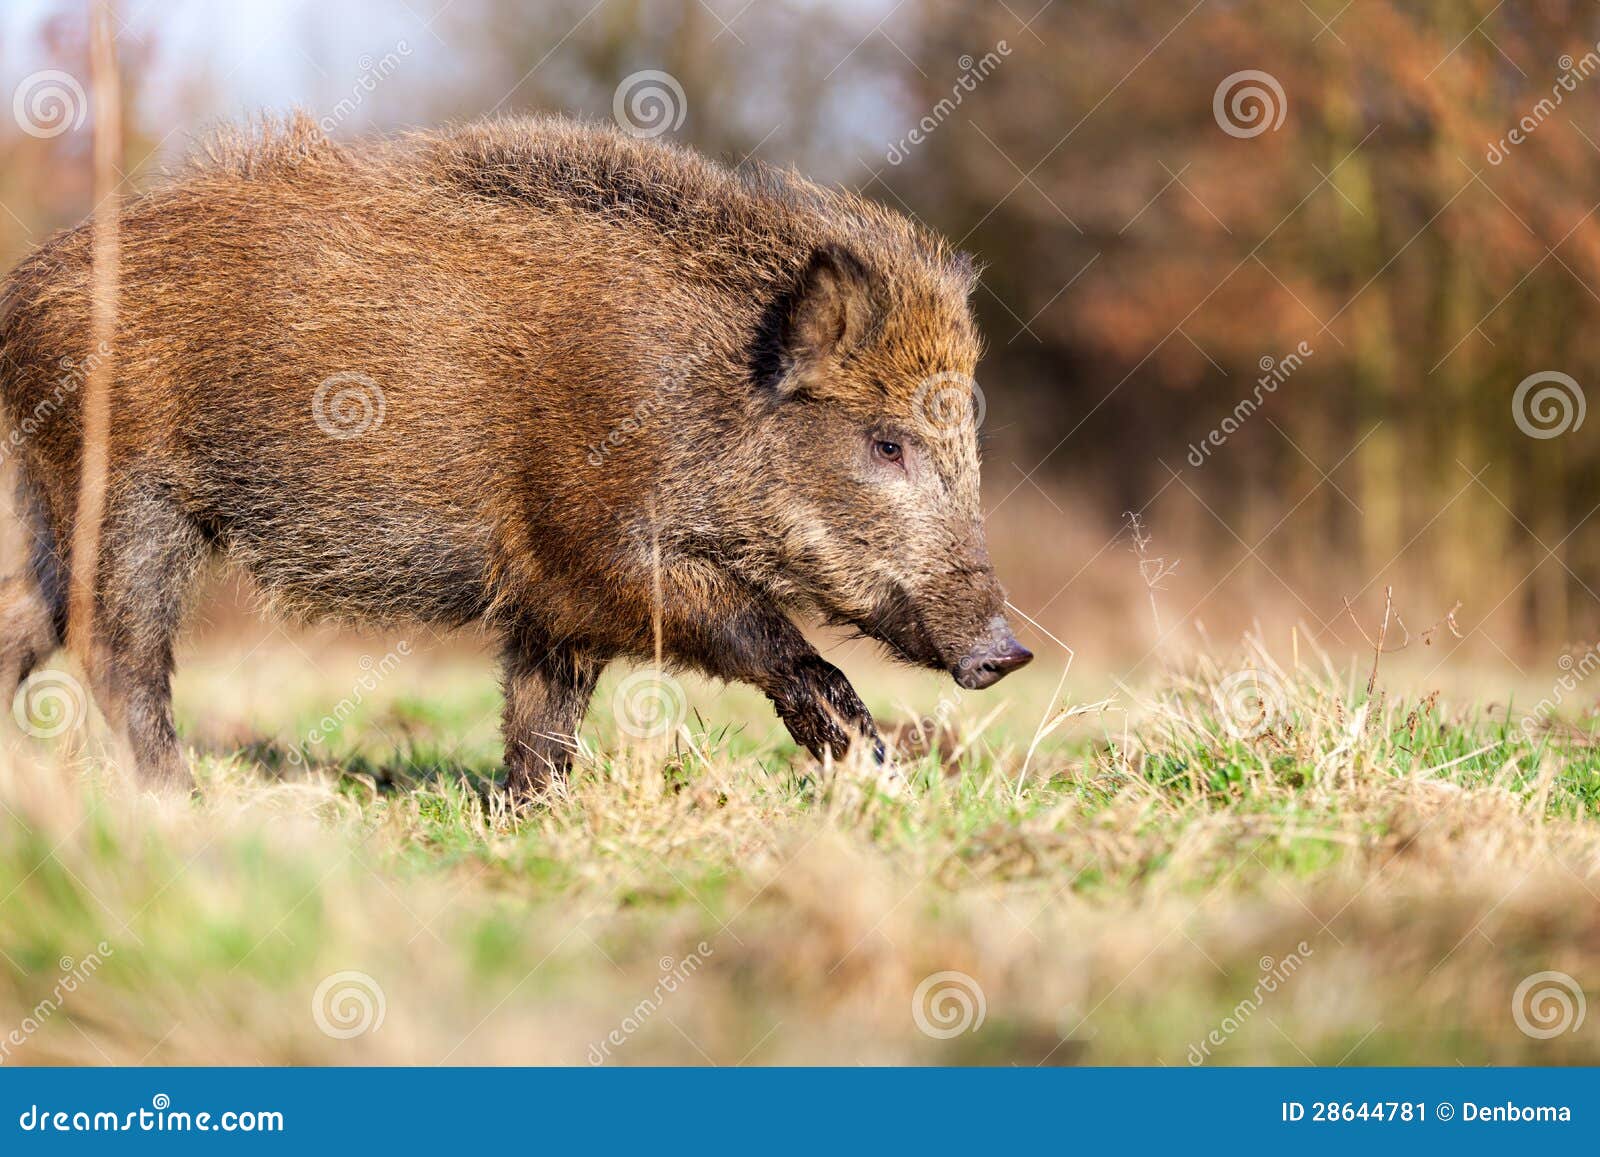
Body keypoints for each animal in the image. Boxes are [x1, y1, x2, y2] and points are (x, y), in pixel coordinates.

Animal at [0, 112, 1032, 796]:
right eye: (887, 441)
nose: (1007, 652)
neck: (700, 396)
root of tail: (22, 296)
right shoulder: (590, 554)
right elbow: (775, 641)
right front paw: (876, 774)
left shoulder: (550, 607)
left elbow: (542, 721)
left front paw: (533, 814)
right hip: (126, 493)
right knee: (114, 648)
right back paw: (179, 802)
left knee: (27, 619)